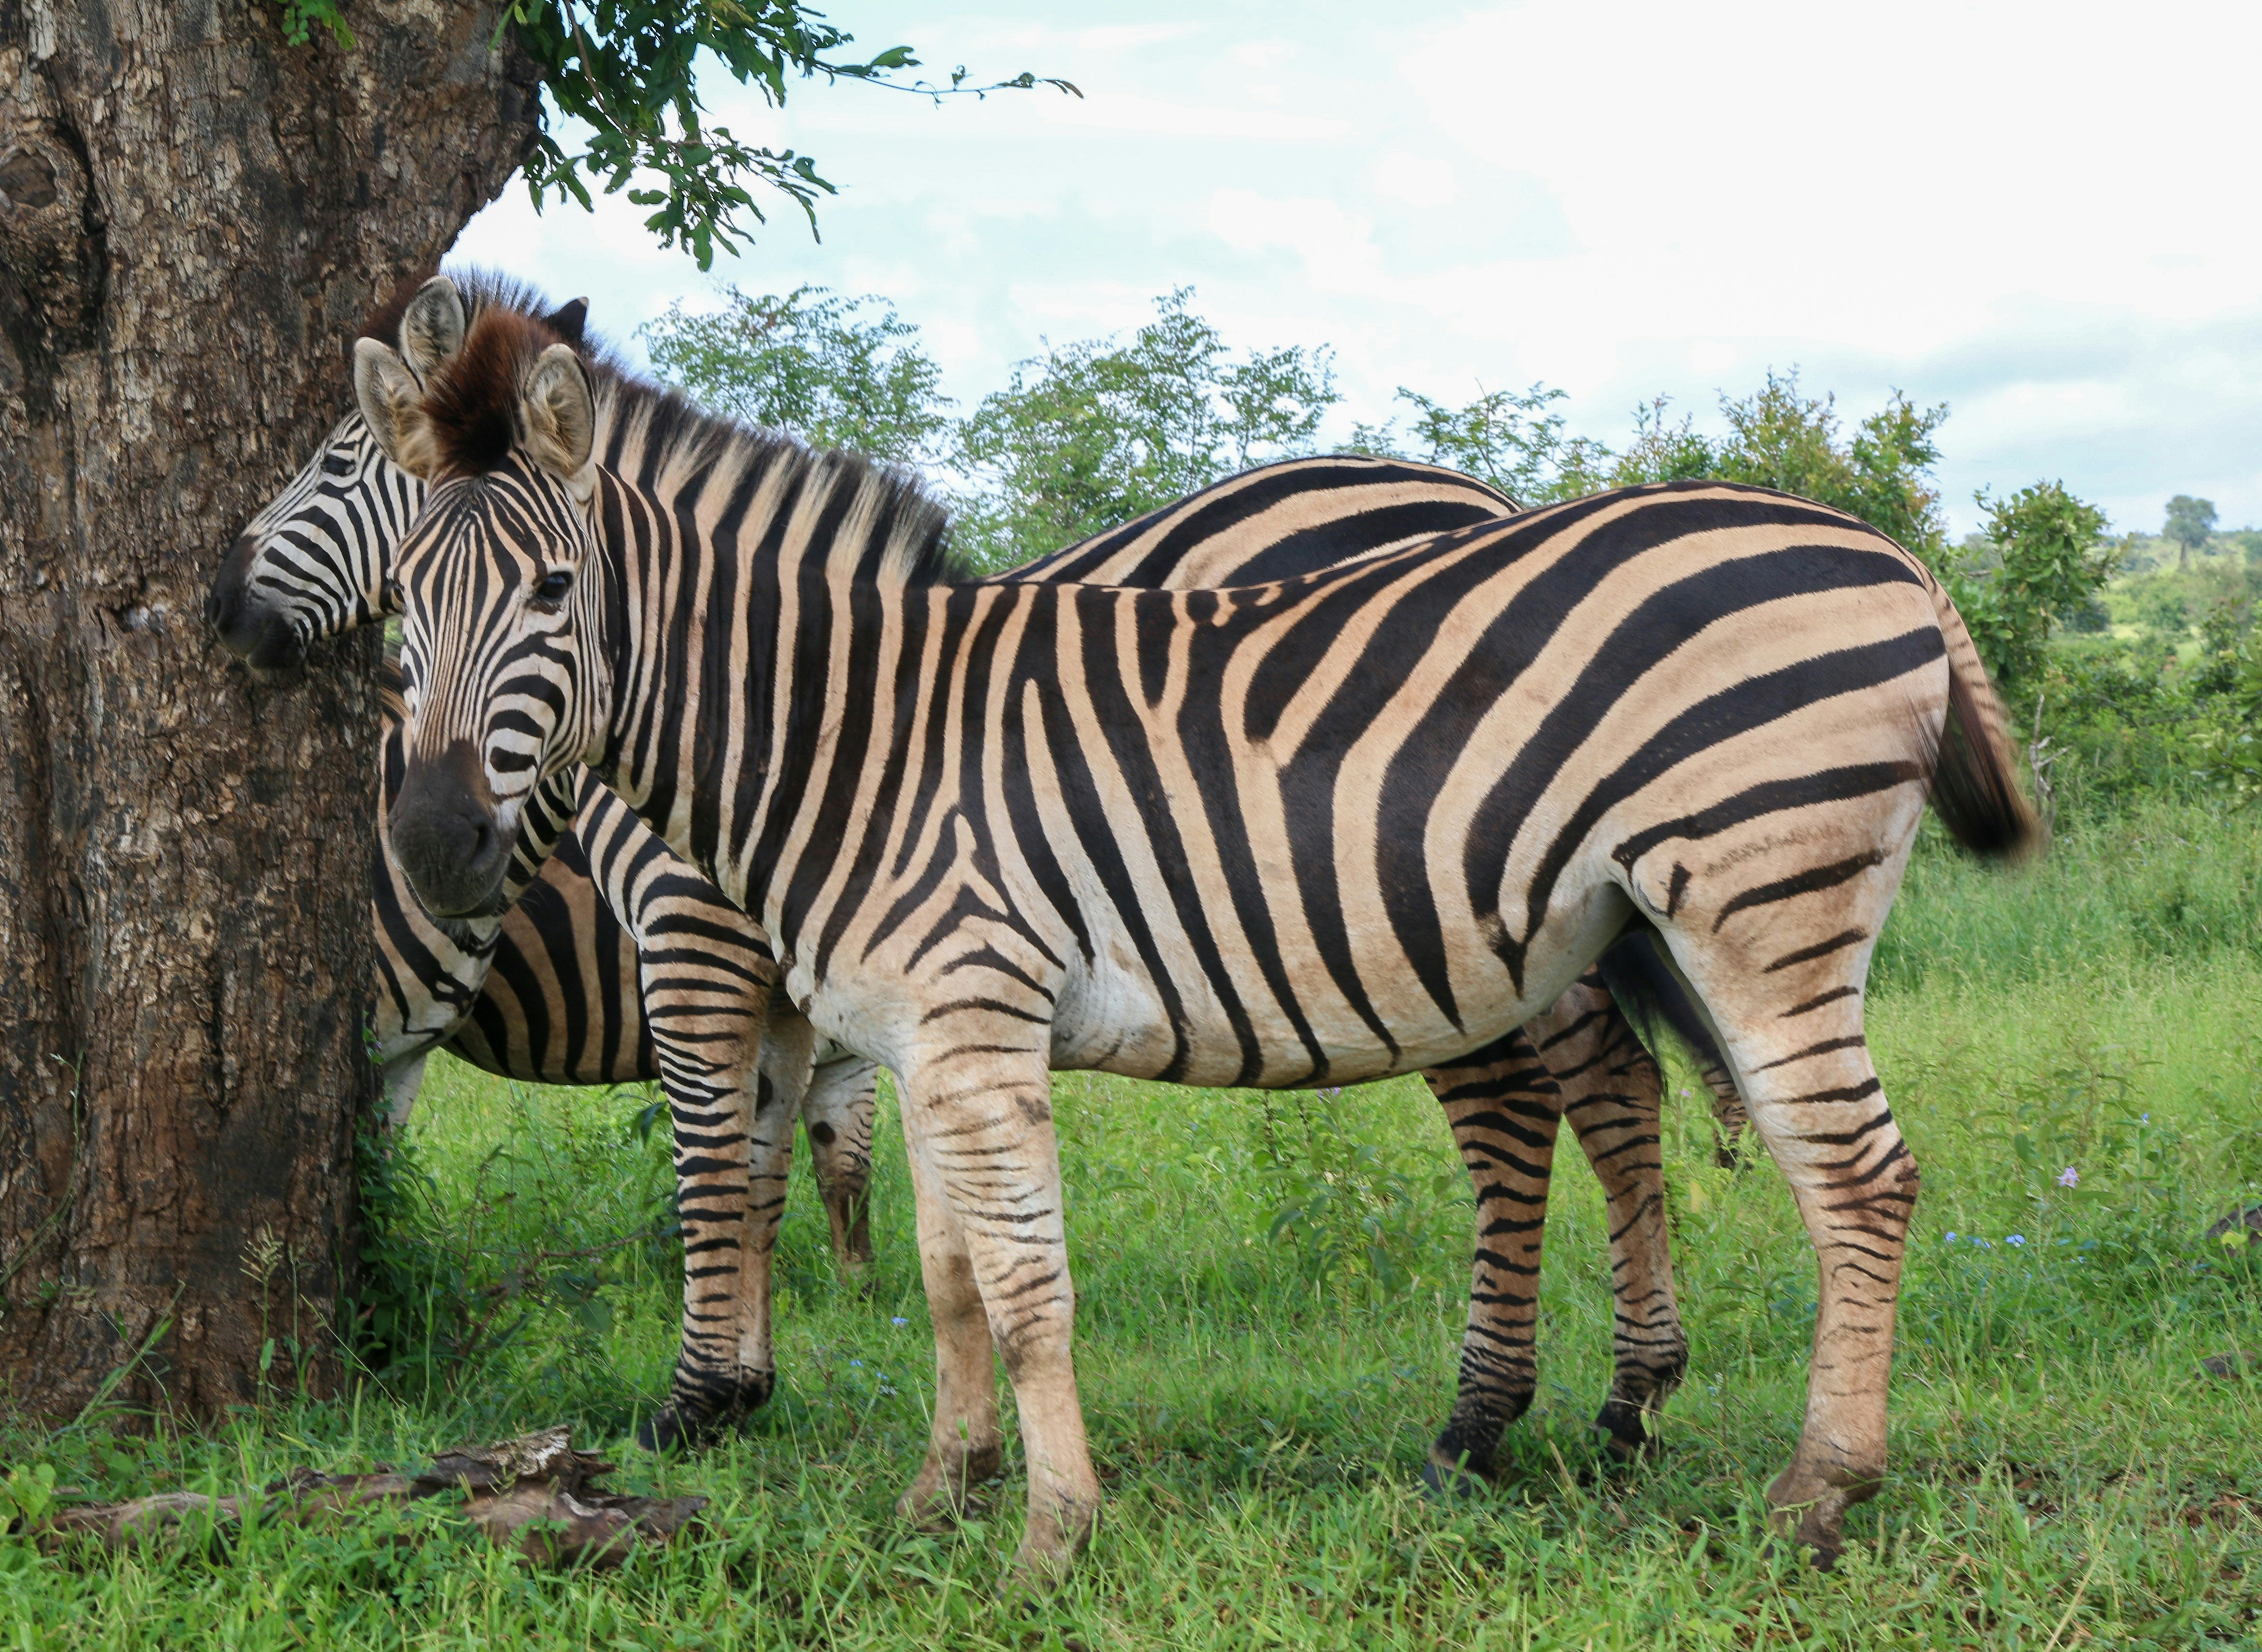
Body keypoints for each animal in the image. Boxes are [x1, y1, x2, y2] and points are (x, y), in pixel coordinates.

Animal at [221, 273, 1755, 1468]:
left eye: (335, 463)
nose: (219, 604)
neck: (763, 685)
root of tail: (1478, 492)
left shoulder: (690, 928)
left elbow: (713, 1155)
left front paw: (695, 1399)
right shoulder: (796, 966)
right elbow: (773, 1161)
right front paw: (754, 1383)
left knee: (1528, 1105)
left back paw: (1497, 1417)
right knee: (1612, 1085)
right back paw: (1623, 1400)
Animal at [358, 302, 2036, 1575]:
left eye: (555, 589)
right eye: (398, 604)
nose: (434, 846)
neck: (846, 735)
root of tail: (1886, 548)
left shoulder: (971, 1008)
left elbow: (1027, 1284)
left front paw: (1051, 1533)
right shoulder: (914, 1033)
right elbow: (951, 1273)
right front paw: (940, 1491)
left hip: (1762, 897)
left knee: (1858, 1175)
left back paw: (1817, 1489)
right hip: (1650, 913)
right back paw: (1665, 1430)